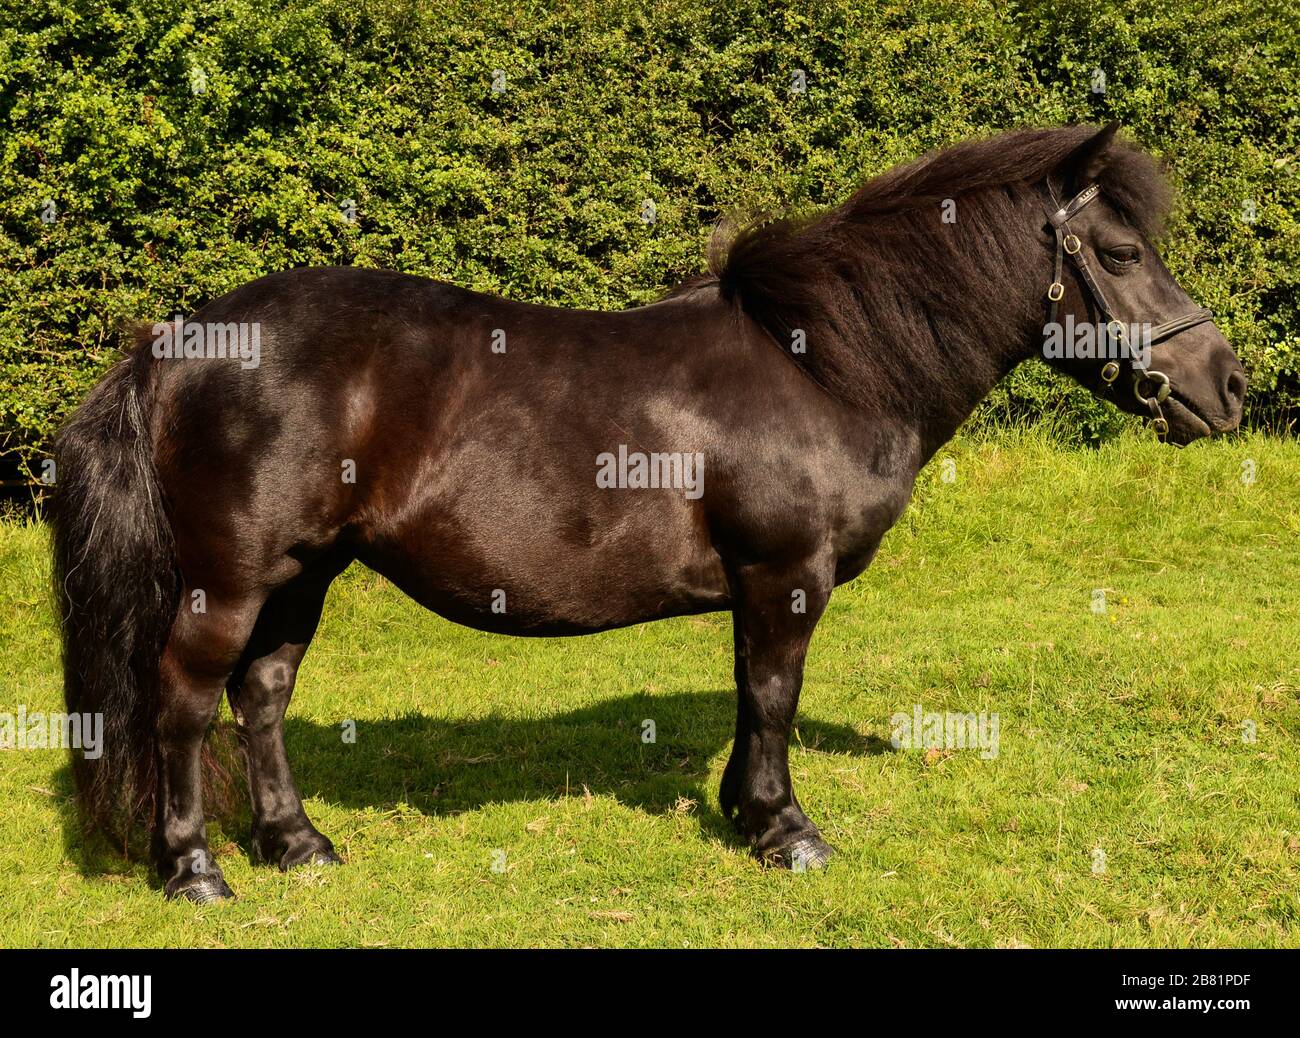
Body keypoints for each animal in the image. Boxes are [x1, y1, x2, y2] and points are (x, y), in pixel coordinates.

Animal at [50, 123, 1245, 902]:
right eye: (1122, 253)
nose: (1227, 386)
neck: (819, 365)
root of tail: (176, 341)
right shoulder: (786, 575)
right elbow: (773, 695)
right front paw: (786, 833)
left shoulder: (760, 587)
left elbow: (751, 697)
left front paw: (741, 811)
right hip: (231, 580)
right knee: (182, 703)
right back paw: (195, 871)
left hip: (302, 574)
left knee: (261, 696)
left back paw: (298, 848)